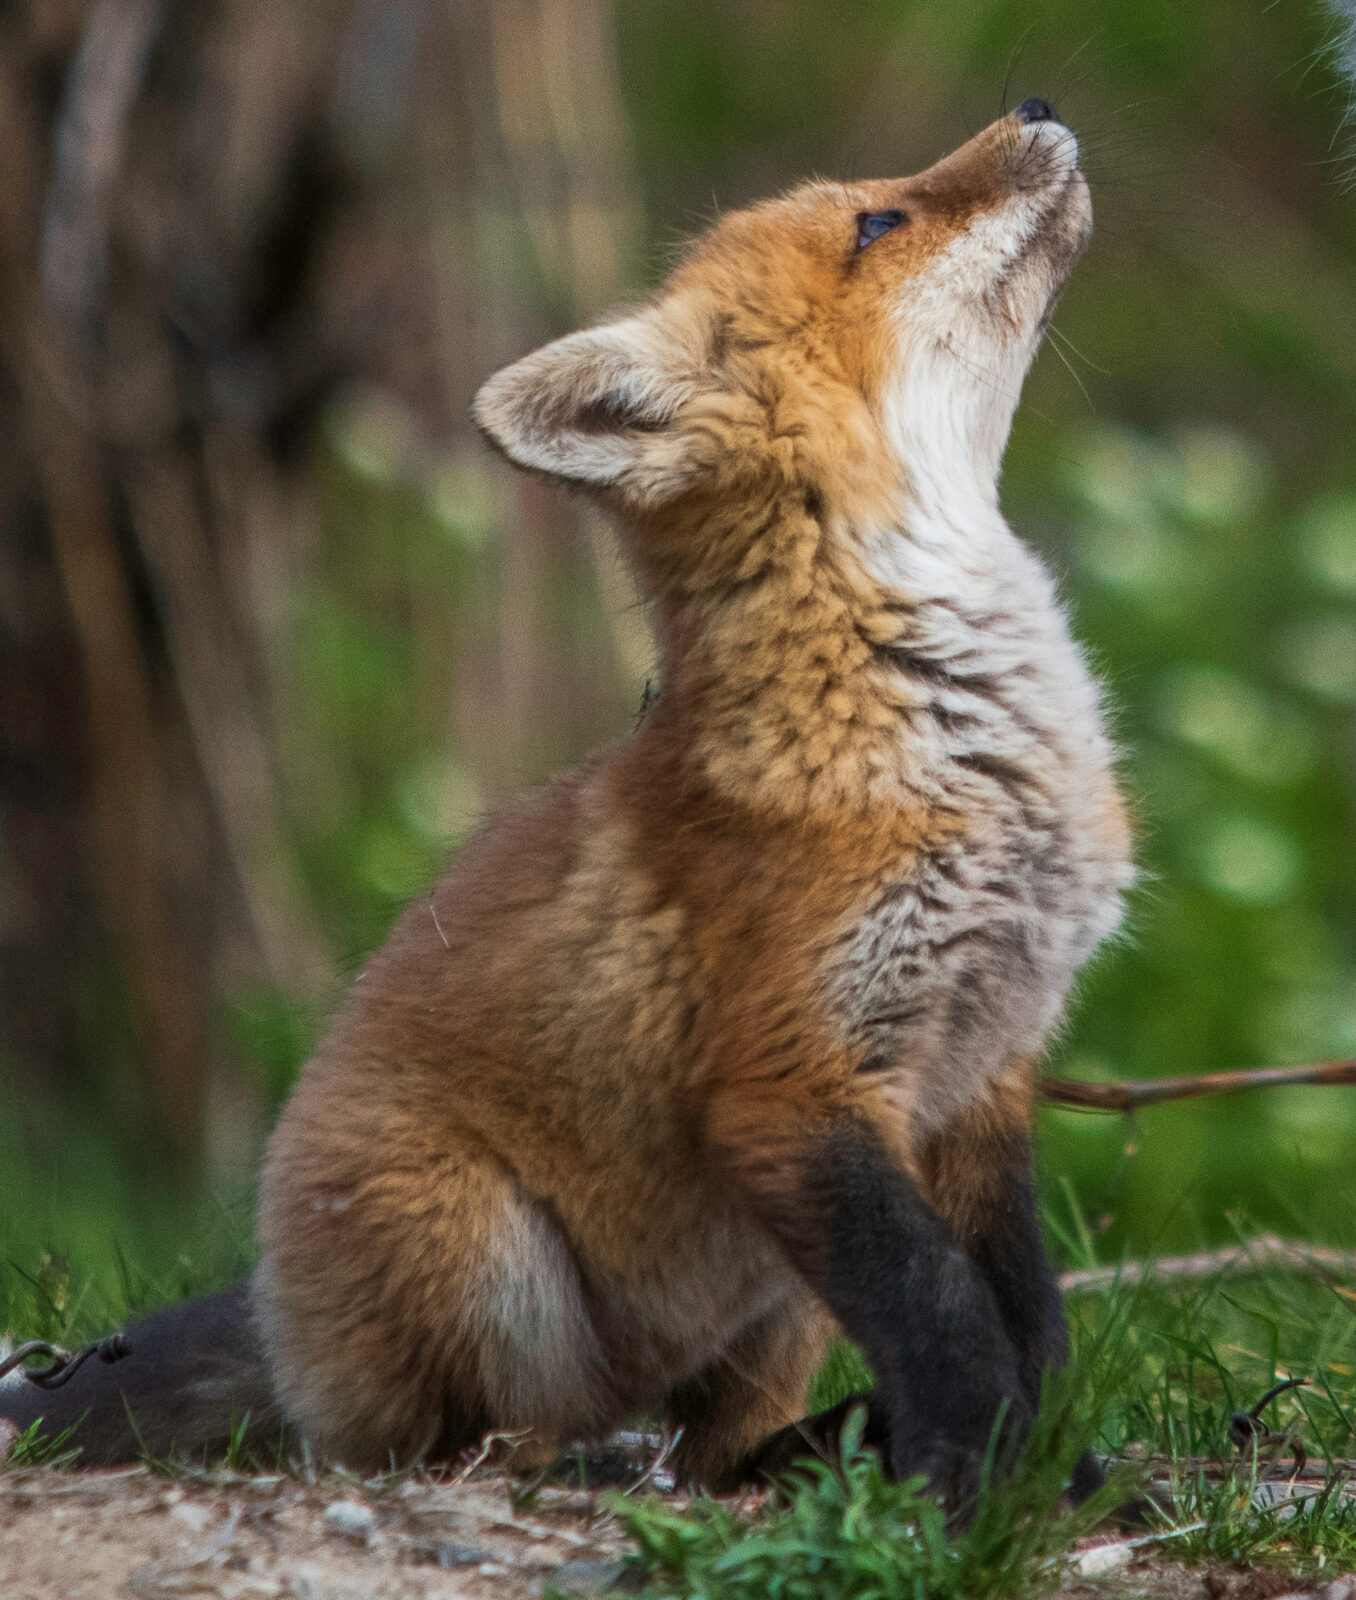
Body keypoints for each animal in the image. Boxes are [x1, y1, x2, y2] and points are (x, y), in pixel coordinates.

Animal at [1, 99, 1132, 1500]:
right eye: (881, 221)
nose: (1037, 106)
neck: (951, 732)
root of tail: (276, 1323)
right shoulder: (790, 1090)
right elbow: (943, 1312)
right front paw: (970, 1485)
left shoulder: (981, 1073)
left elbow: (1027, 1313)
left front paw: (1044, 1472)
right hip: (481, 1244)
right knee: (480, 1447)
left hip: (776, 1305)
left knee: (712, 1452)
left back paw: (804, 1457)